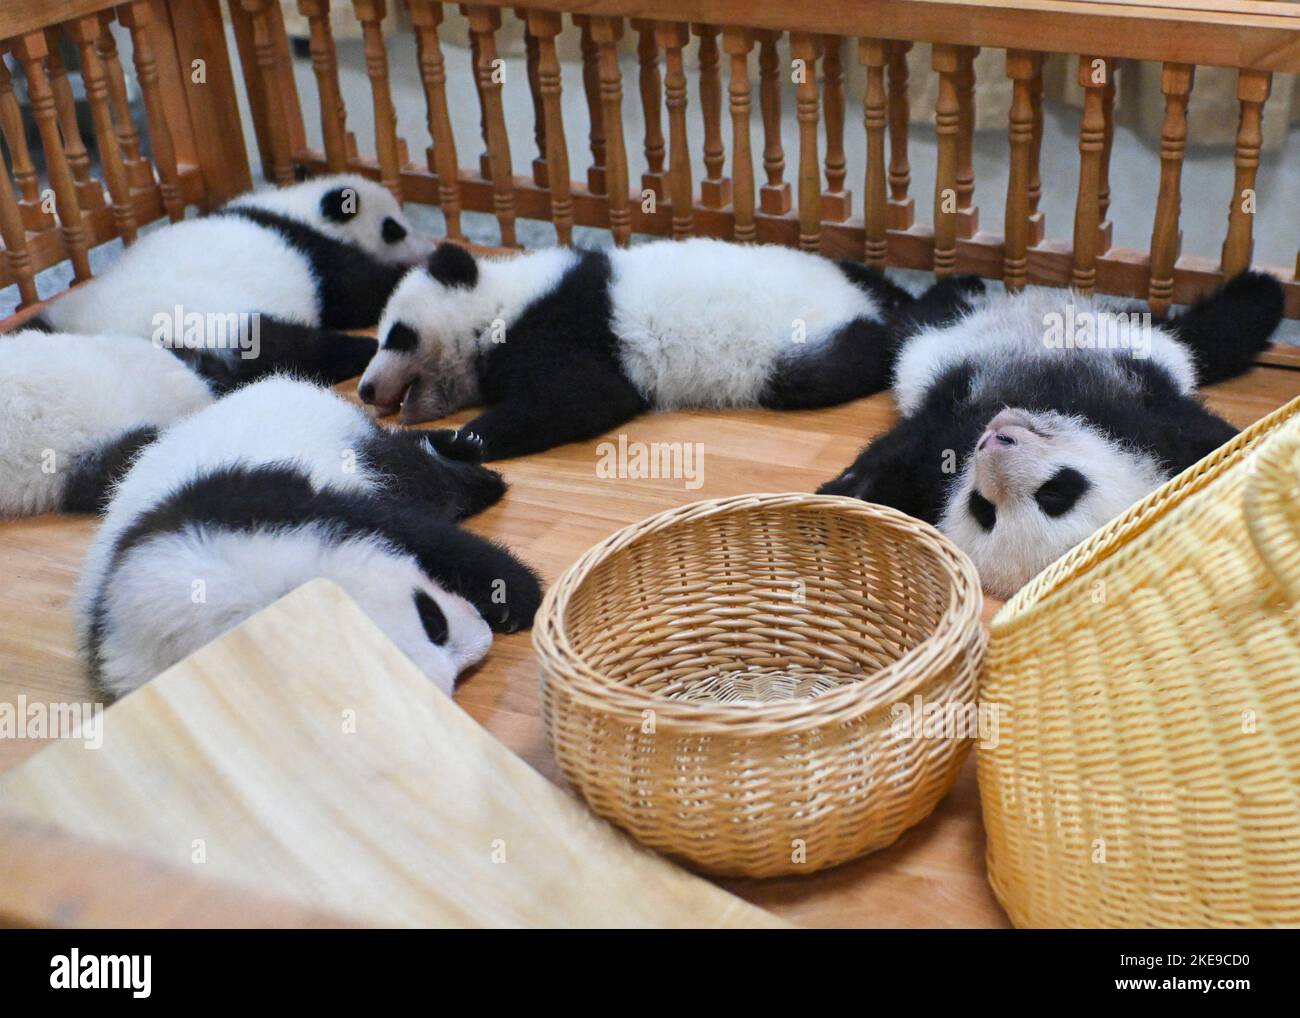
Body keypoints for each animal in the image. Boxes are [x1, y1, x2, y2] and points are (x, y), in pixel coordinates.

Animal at [38, 174, 434, 391]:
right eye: (393, 229)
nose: (425, 246)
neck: (294, 206)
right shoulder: (311, 252)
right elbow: (359, 291)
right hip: (216, 321)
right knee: (285, 349)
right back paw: (357, 350)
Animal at [78, 376, 542, 700]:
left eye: (431, 618)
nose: (483, 637)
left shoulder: (256, 504)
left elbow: (411, 530)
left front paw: (514, 595)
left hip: (340, 436)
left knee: (412, 467)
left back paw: (469, 455)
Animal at [356, 238, 915, 459]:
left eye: (397, 335)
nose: (363, 389)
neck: (498, 302)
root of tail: (861, 297)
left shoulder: (563, 326)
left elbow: (580, 398)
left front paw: (448, 441)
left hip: (797, 339)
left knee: (830, 366)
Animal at [818, 271, 1285, 598]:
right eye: (983, 508)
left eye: (1055, 493)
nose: (995, 442)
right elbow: (907, 453)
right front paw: (838, 495)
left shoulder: (1145, 422)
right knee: (923, 316)